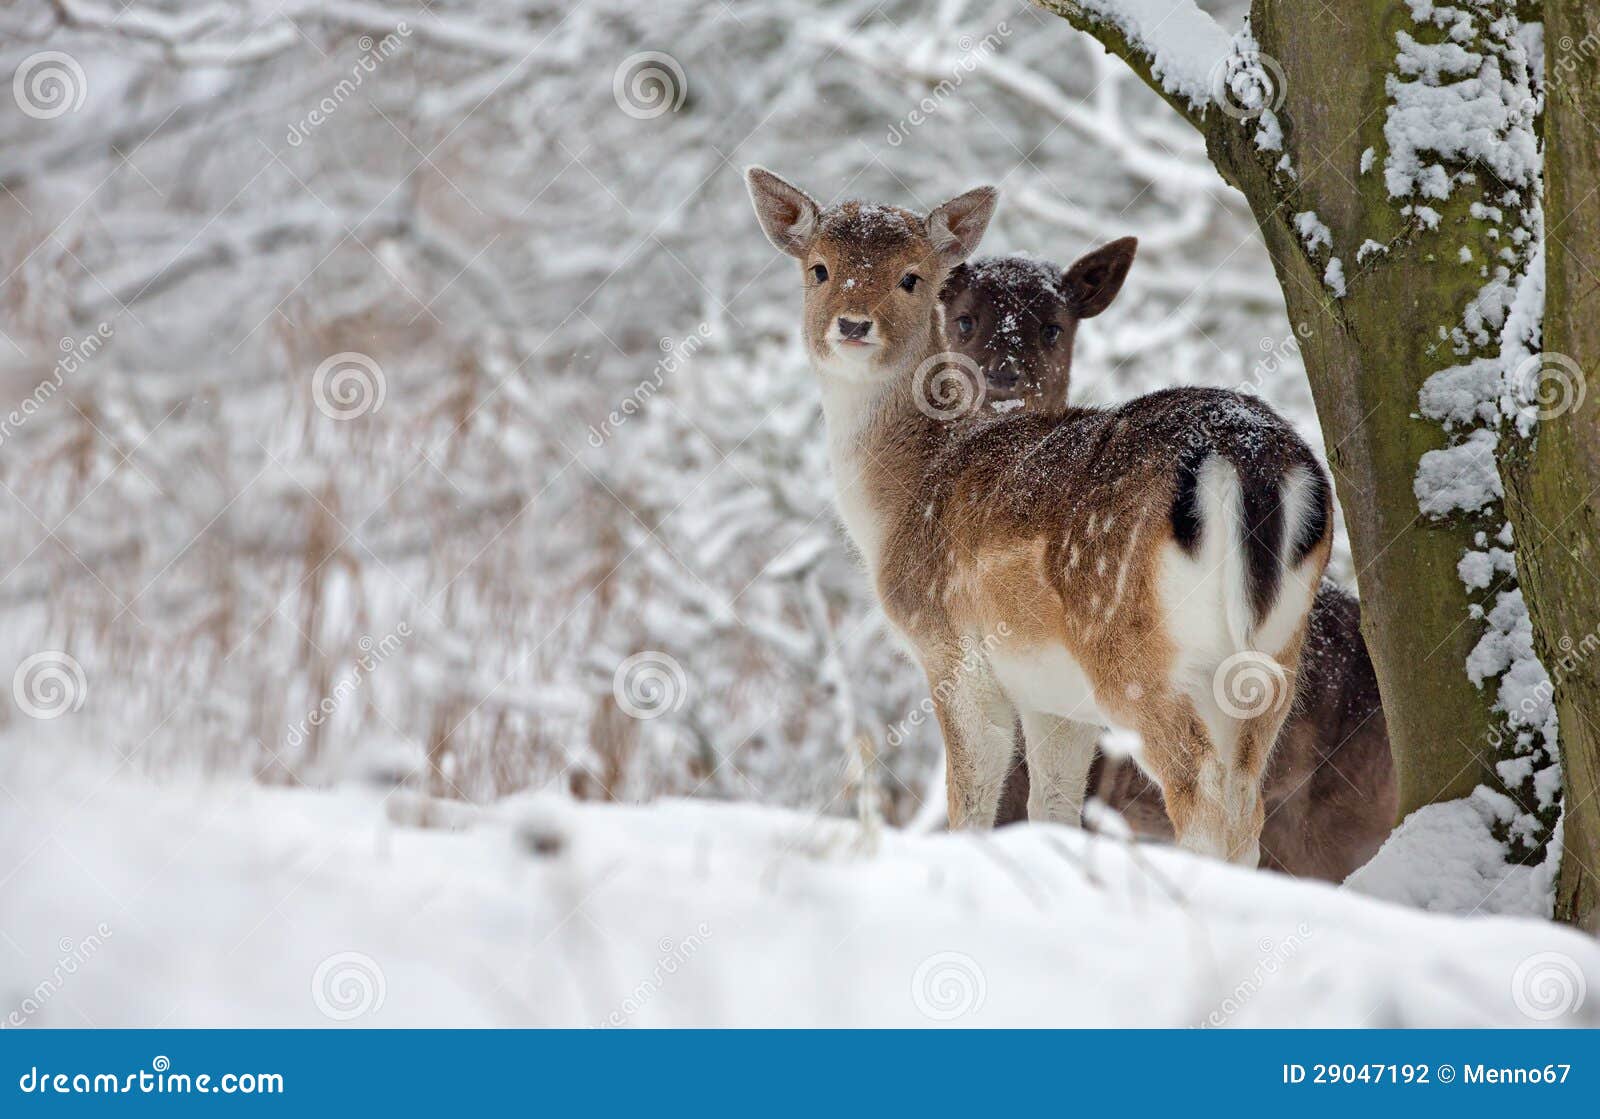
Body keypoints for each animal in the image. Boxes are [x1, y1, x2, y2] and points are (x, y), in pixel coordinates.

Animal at [746, 167, 1335, 866]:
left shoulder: (955, 655)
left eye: (912, 277)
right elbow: (1051, 807)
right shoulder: (1057, 701)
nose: (853, 325)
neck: (897, 502)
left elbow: (971, 802)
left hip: (1132, 649)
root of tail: (1251, 458)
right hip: (1275, 654)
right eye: (819, 268)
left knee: (1201, 792)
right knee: (1247, 805)